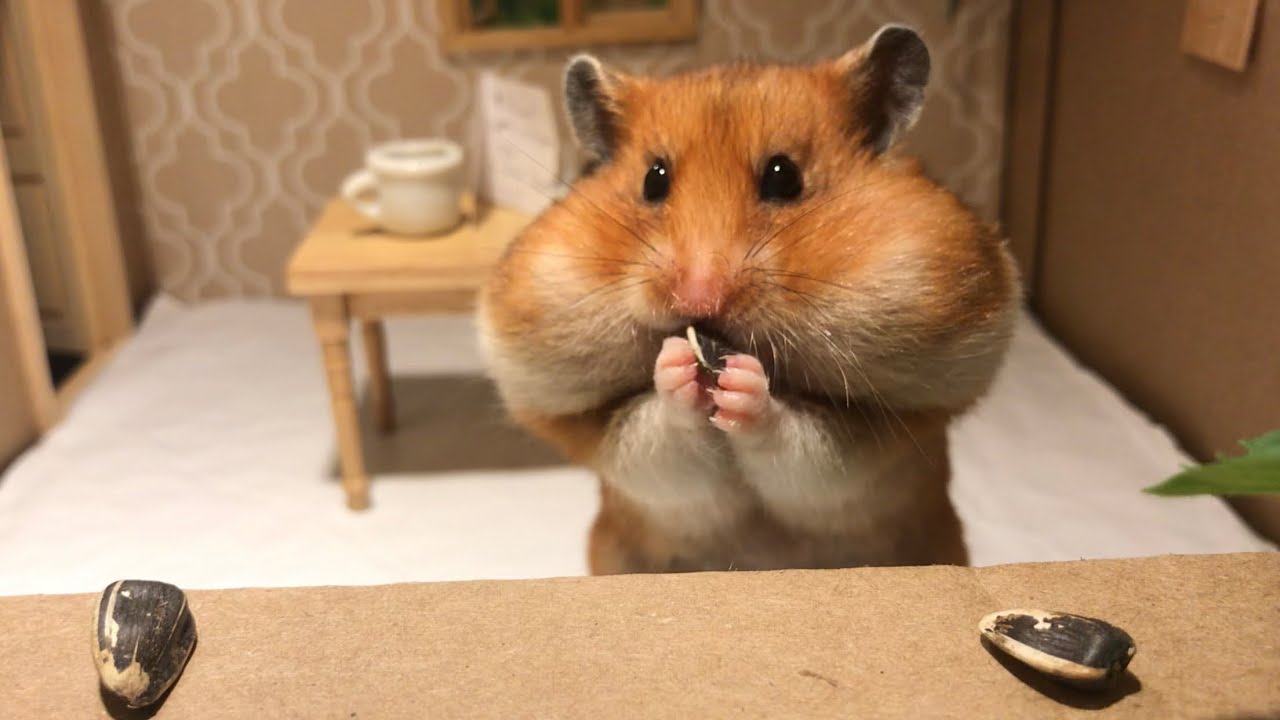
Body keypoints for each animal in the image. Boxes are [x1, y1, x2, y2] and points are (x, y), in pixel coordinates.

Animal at [477, 25, 1021, 574]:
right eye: (653, 180)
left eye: (784, 176)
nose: (698, 300)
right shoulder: (619, 448)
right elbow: (657, 427)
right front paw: (676, 367)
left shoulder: (881, 438)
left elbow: (801, 435)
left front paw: (743, 383)